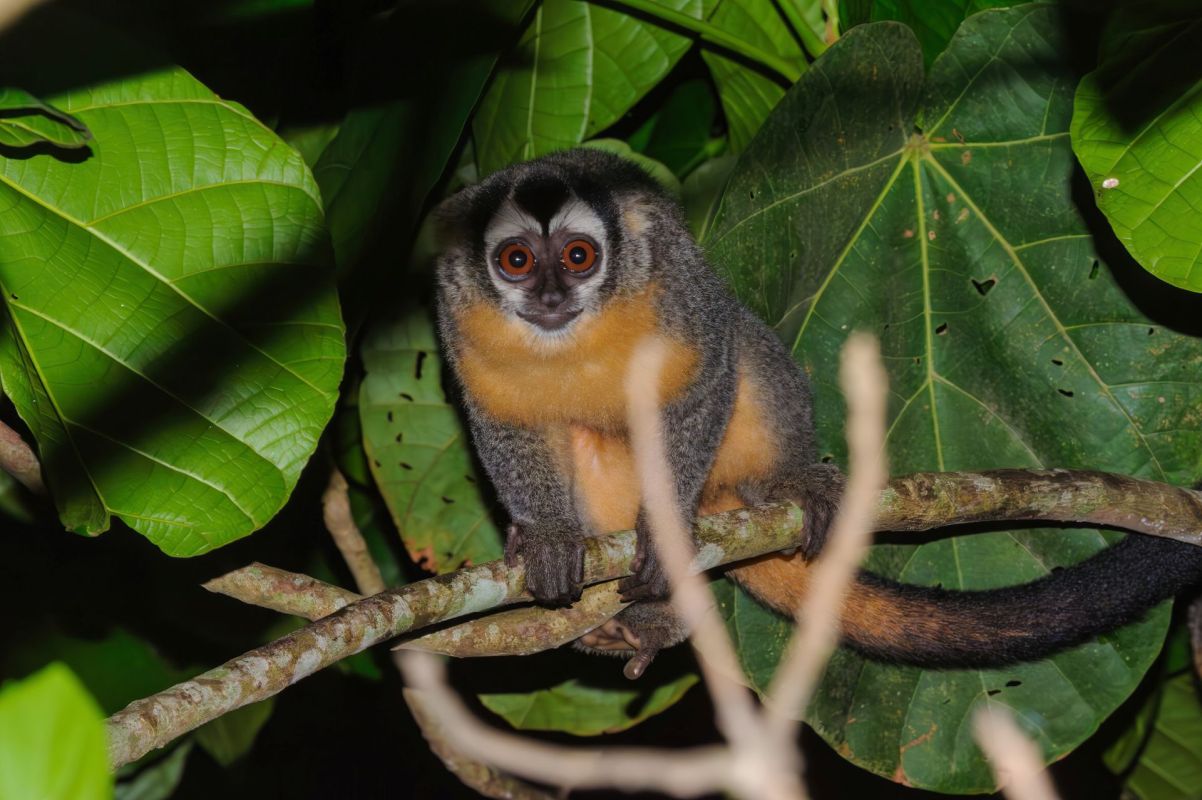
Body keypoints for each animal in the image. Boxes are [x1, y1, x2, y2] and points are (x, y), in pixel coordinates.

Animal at [433, 147, 1202, 678]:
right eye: (517, 260)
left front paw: (666, 527)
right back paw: (643, 615)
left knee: (742, 343)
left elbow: (705, 370)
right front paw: (548, 536)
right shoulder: (459, 315)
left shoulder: (676, 283)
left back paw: (778, 488)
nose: (551, 295)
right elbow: (501, 421)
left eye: (578, 256)